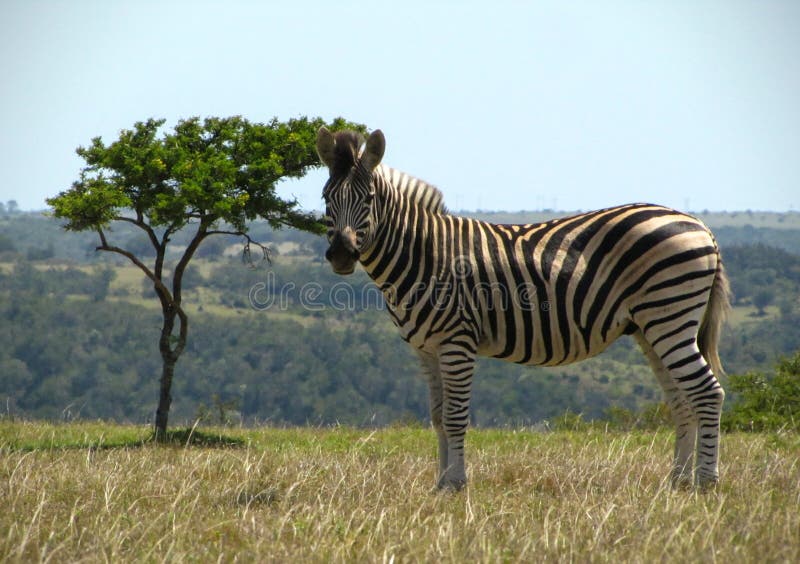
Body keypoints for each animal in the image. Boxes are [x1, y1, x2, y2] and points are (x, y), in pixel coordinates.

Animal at [316, 127, 731, 491]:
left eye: (369, 198)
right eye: (325, 198)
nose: (341, 254)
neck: (425, 253)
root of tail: (700, 225)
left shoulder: (457, 342)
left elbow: (455, 417)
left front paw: (455, 484)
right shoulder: (426, 349)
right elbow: (437, 418)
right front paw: (440, 483)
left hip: (669, 315)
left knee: (706, 392)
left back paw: (705, 483)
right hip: (650, 326)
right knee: (681, 399)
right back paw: (677, 483)